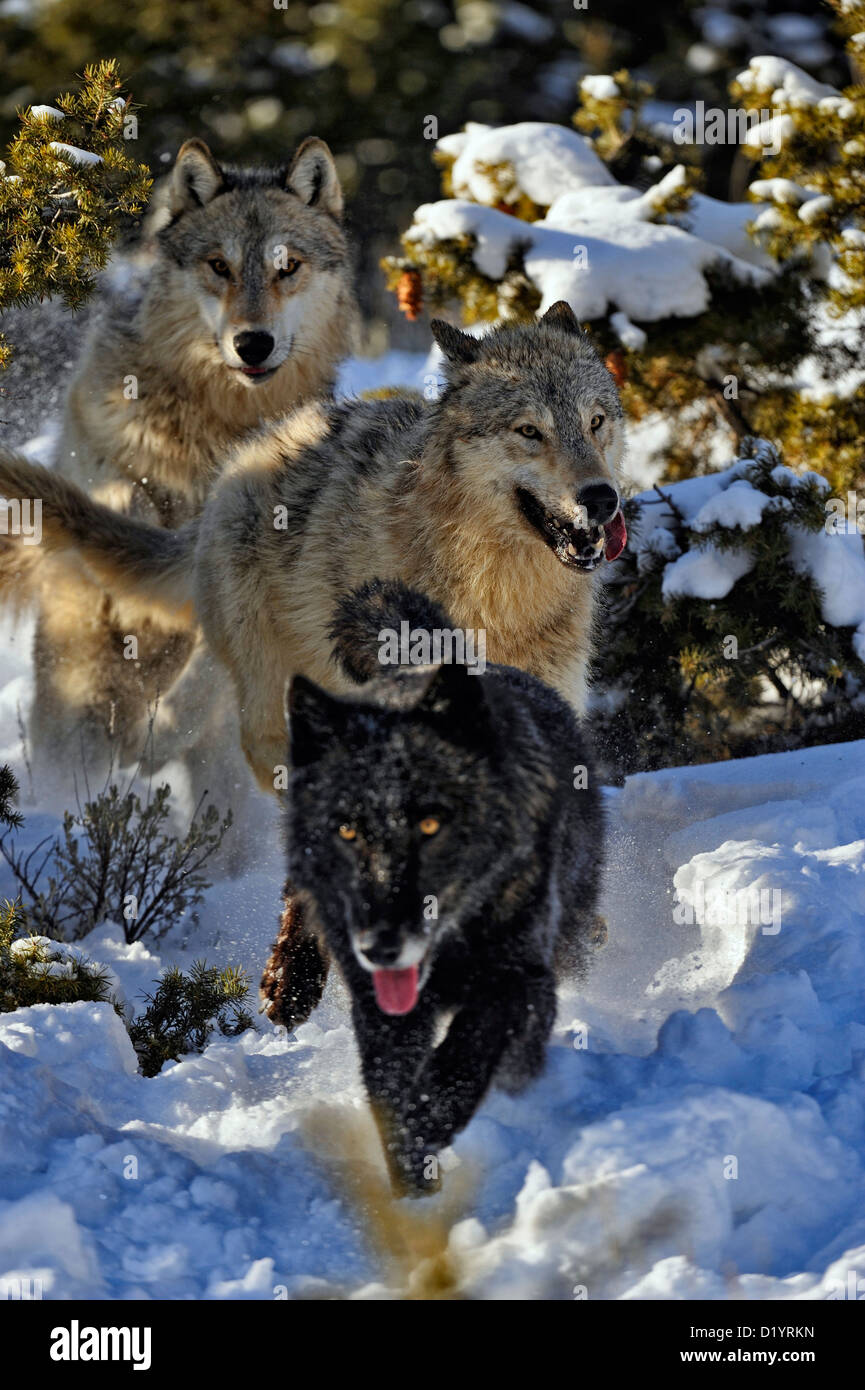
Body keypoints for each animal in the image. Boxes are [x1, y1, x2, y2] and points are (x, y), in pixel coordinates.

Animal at [0, 301, 625, 798]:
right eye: (529, 432)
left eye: (595, 422)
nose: (601, 497)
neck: (499, 593)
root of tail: (235, 466)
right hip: (263, 683)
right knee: (258, 751)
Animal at [10, 135, 358, 797]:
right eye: (219, 266)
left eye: (288, 267)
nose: (253, 343)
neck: (217, 420)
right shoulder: (97, 450)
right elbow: (126, 494)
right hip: (74, 713)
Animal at [274, 578, 605, 1195]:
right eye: (347, 830)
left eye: (430, 825)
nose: (380, 946)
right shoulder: (381, 1005)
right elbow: (390, 1089)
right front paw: (412, 1177)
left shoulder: (521, 976)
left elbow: (473, 1045)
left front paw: (434, 1117)